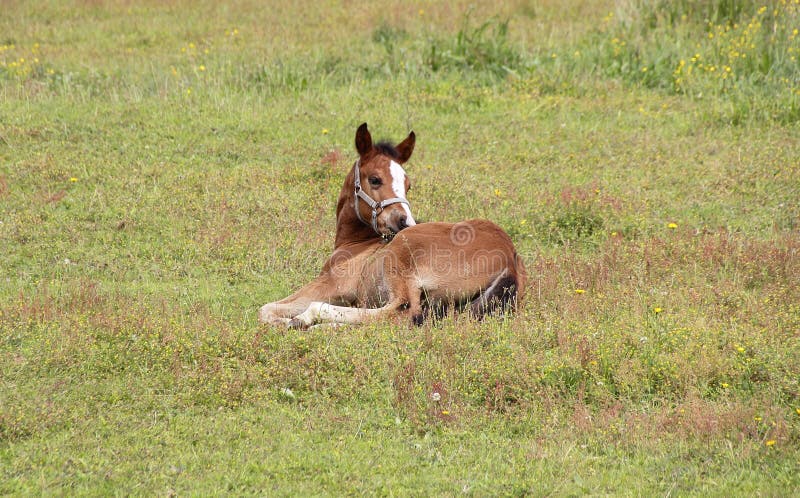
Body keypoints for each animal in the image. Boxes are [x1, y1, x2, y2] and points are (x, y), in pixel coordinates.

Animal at [258, 123, 526, 328]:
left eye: (407, 185)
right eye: (375, 179)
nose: (405, 221)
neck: (357, 244)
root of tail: (509, 258)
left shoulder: (331, 285)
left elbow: (266, 309)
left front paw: (288, 321)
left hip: (399, 261)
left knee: (401, 313)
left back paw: (309, 319)